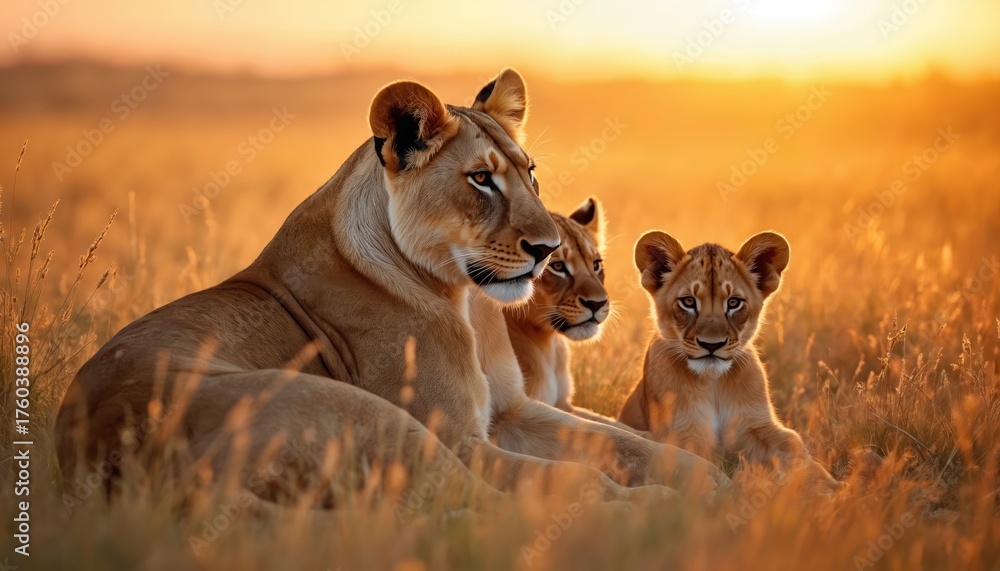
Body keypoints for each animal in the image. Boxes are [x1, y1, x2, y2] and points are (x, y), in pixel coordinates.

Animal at [503, 198, 640, 433]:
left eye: (596, 265)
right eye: (557, 266)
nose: (597, 303)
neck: (547, 345)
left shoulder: (565, 403)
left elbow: (620, 427)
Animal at [617, 230, 840, 489]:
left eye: (733, 303)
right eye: (688, 301)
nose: (712, 345)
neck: (713, 381)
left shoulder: (756, 424)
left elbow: (792, 444)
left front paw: (829, 485)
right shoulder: (683, 432)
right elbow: (698, 464)